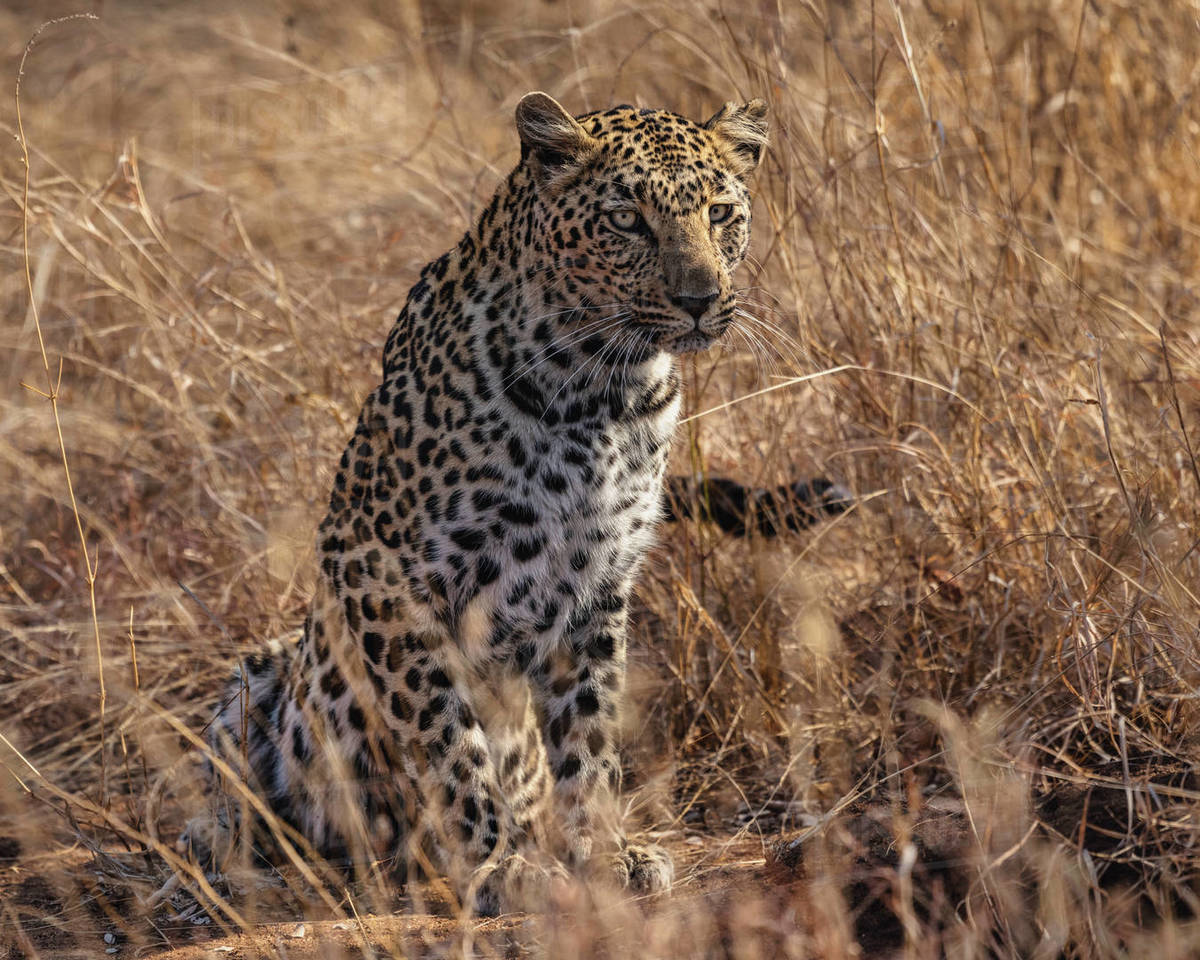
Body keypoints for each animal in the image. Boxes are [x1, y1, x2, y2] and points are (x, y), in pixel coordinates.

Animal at [183, 91, 823, 915]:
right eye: (627, 220)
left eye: (719, 213)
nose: (699, 300)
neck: (604, 391)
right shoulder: (378, 572)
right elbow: (447, 737)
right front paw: (494, 863)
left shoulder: (597, 587)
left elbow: (590, 733)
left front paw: (602, 850)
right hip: (256, 678)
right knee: (227, 807)